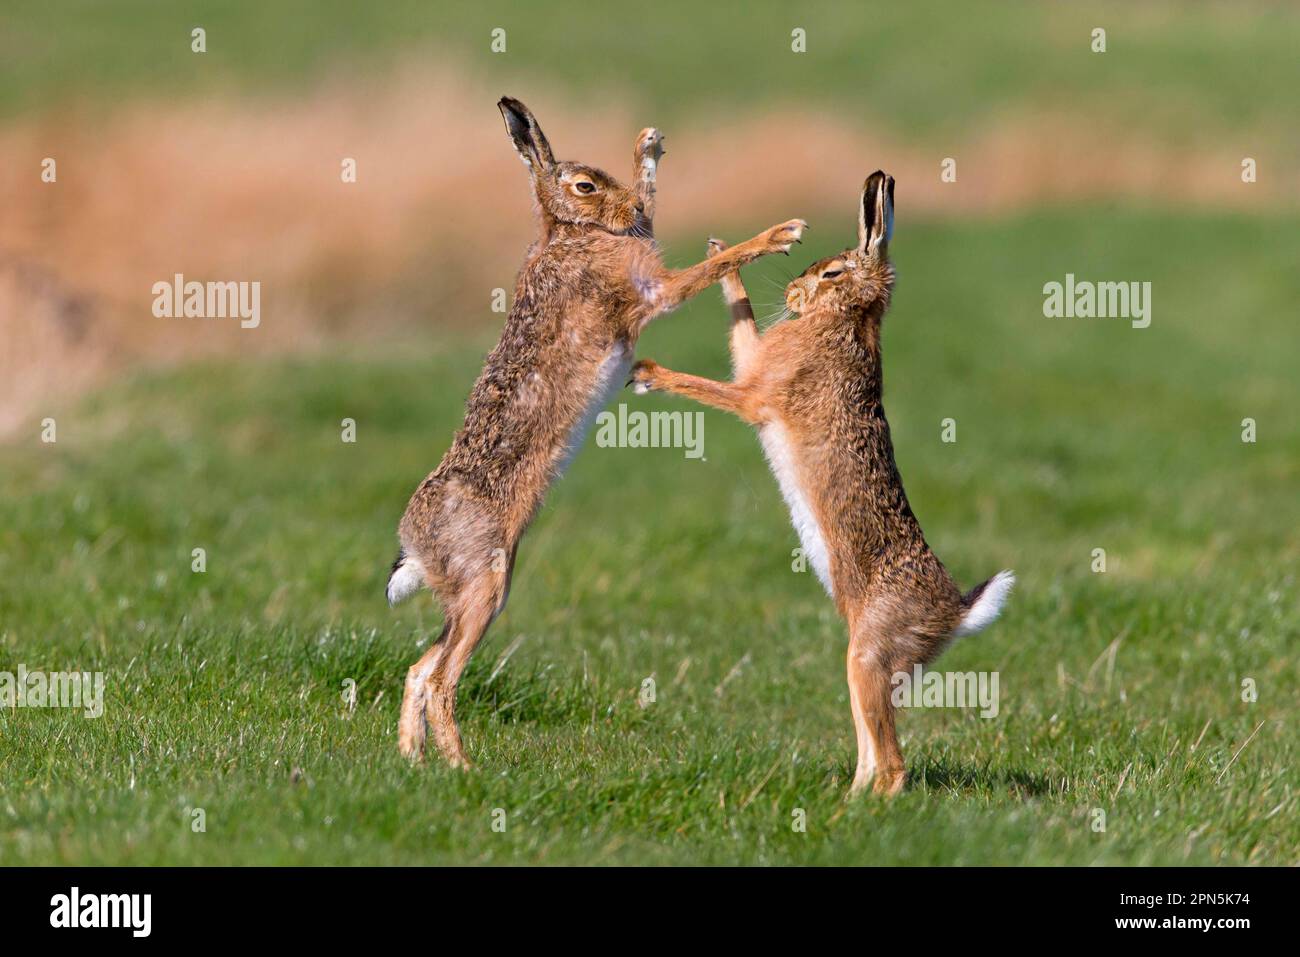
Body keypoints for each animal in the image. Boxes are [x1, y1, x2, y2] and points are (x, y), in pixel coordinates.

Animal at [388, 96, 808, 767]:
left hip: (471, 592)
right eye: (584, 186)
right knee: (444, 676)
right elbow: (707, 266)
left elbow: (658, 208)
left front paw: (648, 149)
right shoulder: (652, 289)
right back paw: (463, 768)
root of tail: (414, 542)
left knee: (419, 668)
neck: (573, 233)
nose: (625, 212)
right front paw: (781, 233)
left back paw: (414, 760)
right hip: (485, 583)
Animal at [629, 172, 1013, 796]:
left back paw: (861, 805)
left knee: (894, 765)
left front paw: (647, 374)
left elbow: (723, 383)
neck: (845, 320)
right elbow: (741, 320)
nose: (791, 295)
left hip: (870, 656)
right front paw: (721, 251)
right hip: (862, 665)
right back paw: (849, 796)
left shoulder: (756, 393)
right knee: (870, 750)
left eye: (832, 273)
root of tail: (955, 615)